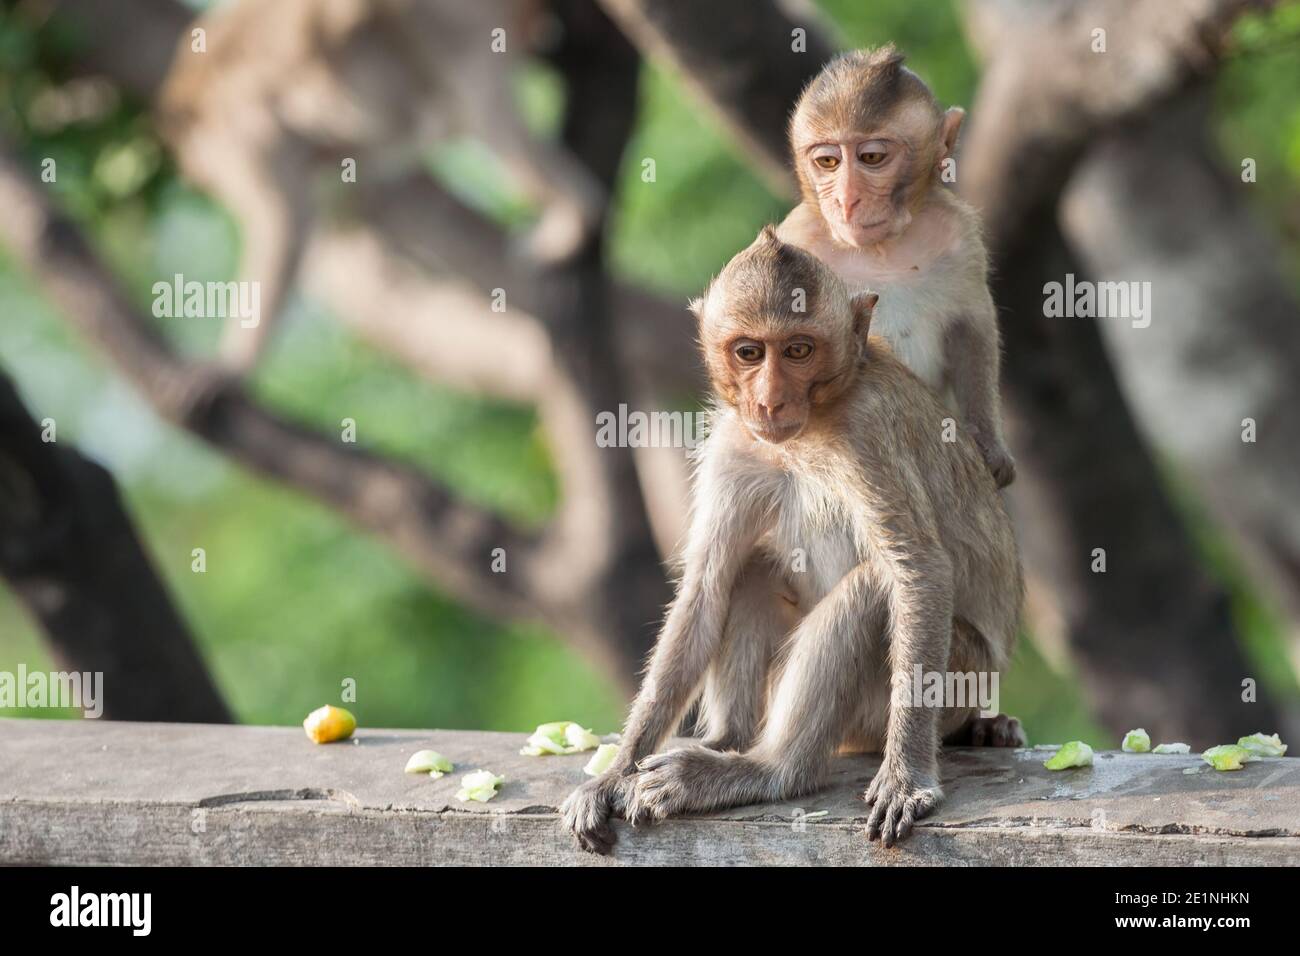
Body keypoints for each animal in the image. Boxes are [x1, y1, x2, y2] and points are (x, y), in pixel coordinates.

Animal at [157, 0, 604, 374]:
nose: (204, 177)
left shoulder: (246, 137)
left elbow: (287, 218)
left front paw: (230, 367)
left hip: (453, 26)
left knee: (481, 109)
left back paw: (575, 217)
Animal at [561, 227, 1024, 854]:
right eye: (749, 353)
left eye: (799, 351)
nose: (770, 400)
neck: (808, 431)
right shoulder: (735, 444)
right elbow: (705, 589)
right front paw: (614, 774)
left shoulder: (867, 433)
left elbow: (918, 570)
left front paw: (906, 777)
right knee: (752, 569)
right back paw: (727, 740)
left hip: (955, 676)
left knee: (871, 590)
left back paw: (772, 770)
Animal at [777, 45, 1016, 488]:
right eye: (828, 161)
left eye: (871, 157)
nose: (847, 199)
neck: (880, 252)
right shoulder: (795, 239)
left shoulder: (957, 234)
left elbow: (970, 323)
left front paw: (989, 445)